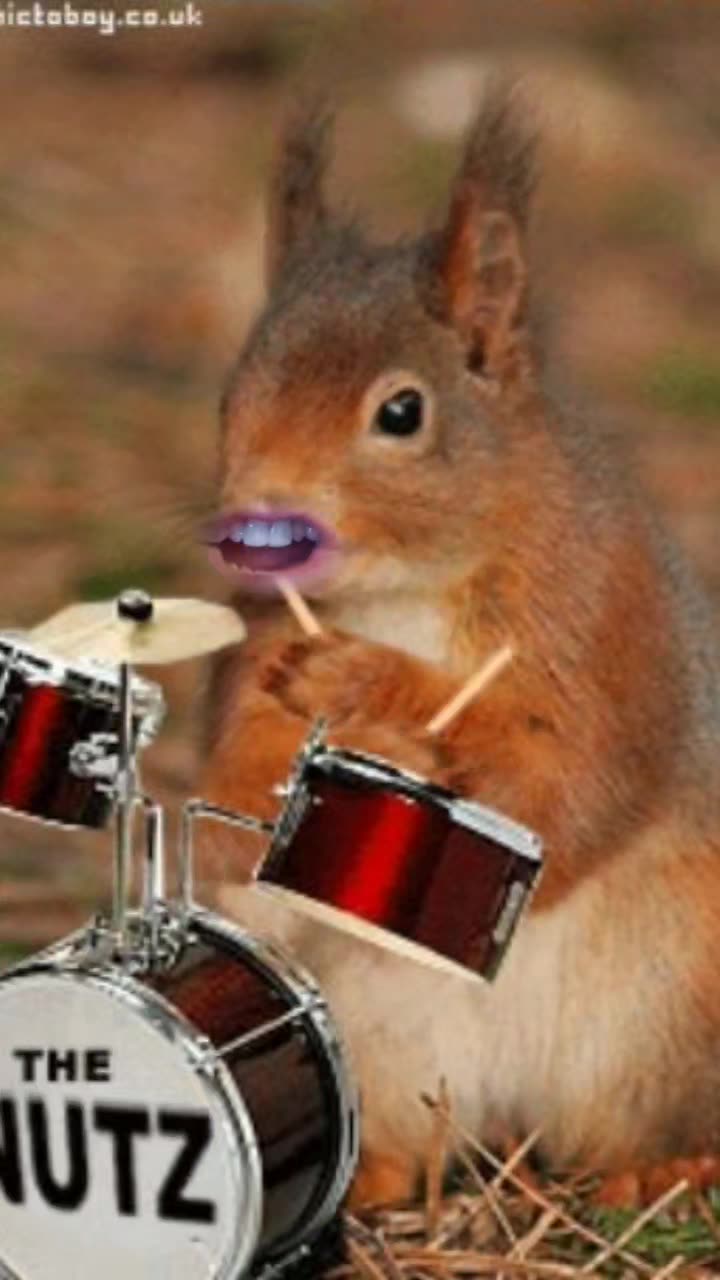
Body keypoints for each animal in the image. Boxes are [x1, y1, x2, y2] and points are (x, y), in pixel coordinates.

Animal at [198, 84, 720, 1209]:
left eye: (402, 412)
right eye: (230, 394)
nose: (256, 519)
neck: (405, 588)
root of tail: (518, 1112)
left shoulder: (600, 621)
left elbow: (572, 781)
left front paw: (377, 683)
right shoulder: (253, 650)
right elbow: (235, 759)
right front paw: (250, 815)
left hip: (680, 998)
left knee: (639, 1127)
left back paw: (663, 1166)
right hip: (380, 1037)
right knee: (409, 1136)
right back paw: (371, 1182)